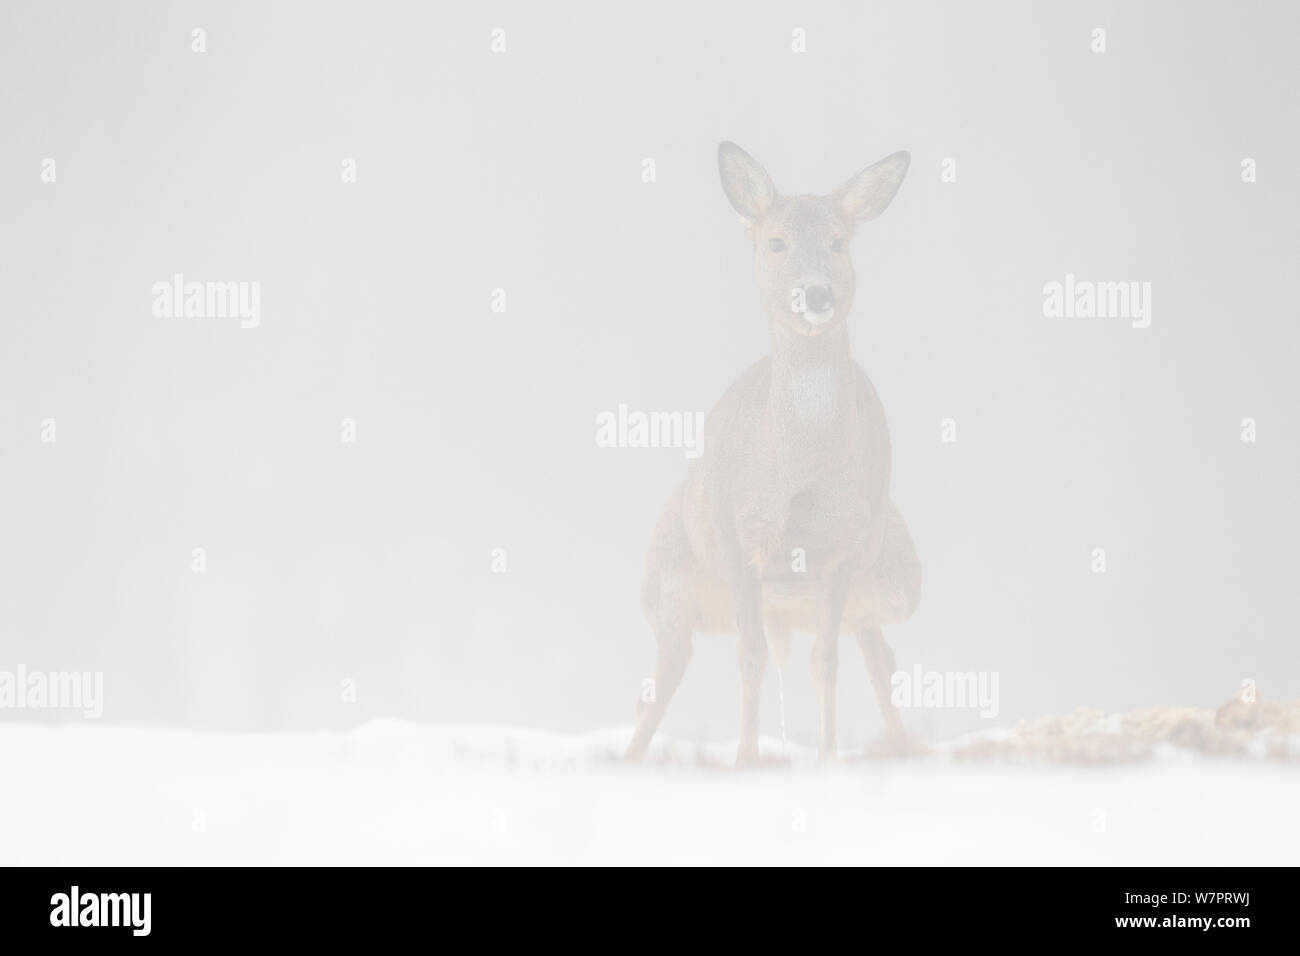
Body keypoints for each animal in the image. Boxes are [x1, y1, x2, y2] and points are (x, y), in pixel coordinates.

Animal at [625, 141, 921, 766]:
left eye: (839, 242)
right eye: (776, 242)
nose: (817, 293)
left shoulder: (845, 547)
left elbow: (825, 662)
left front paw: (828, 759)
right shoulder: (737, 536)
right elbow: (752, 655)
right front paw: (746, 758)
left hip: (891, 586)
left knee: (878, 657)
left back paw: (904, 748)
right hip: (666, 590)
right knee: (663, 678)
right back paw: (629, 756)